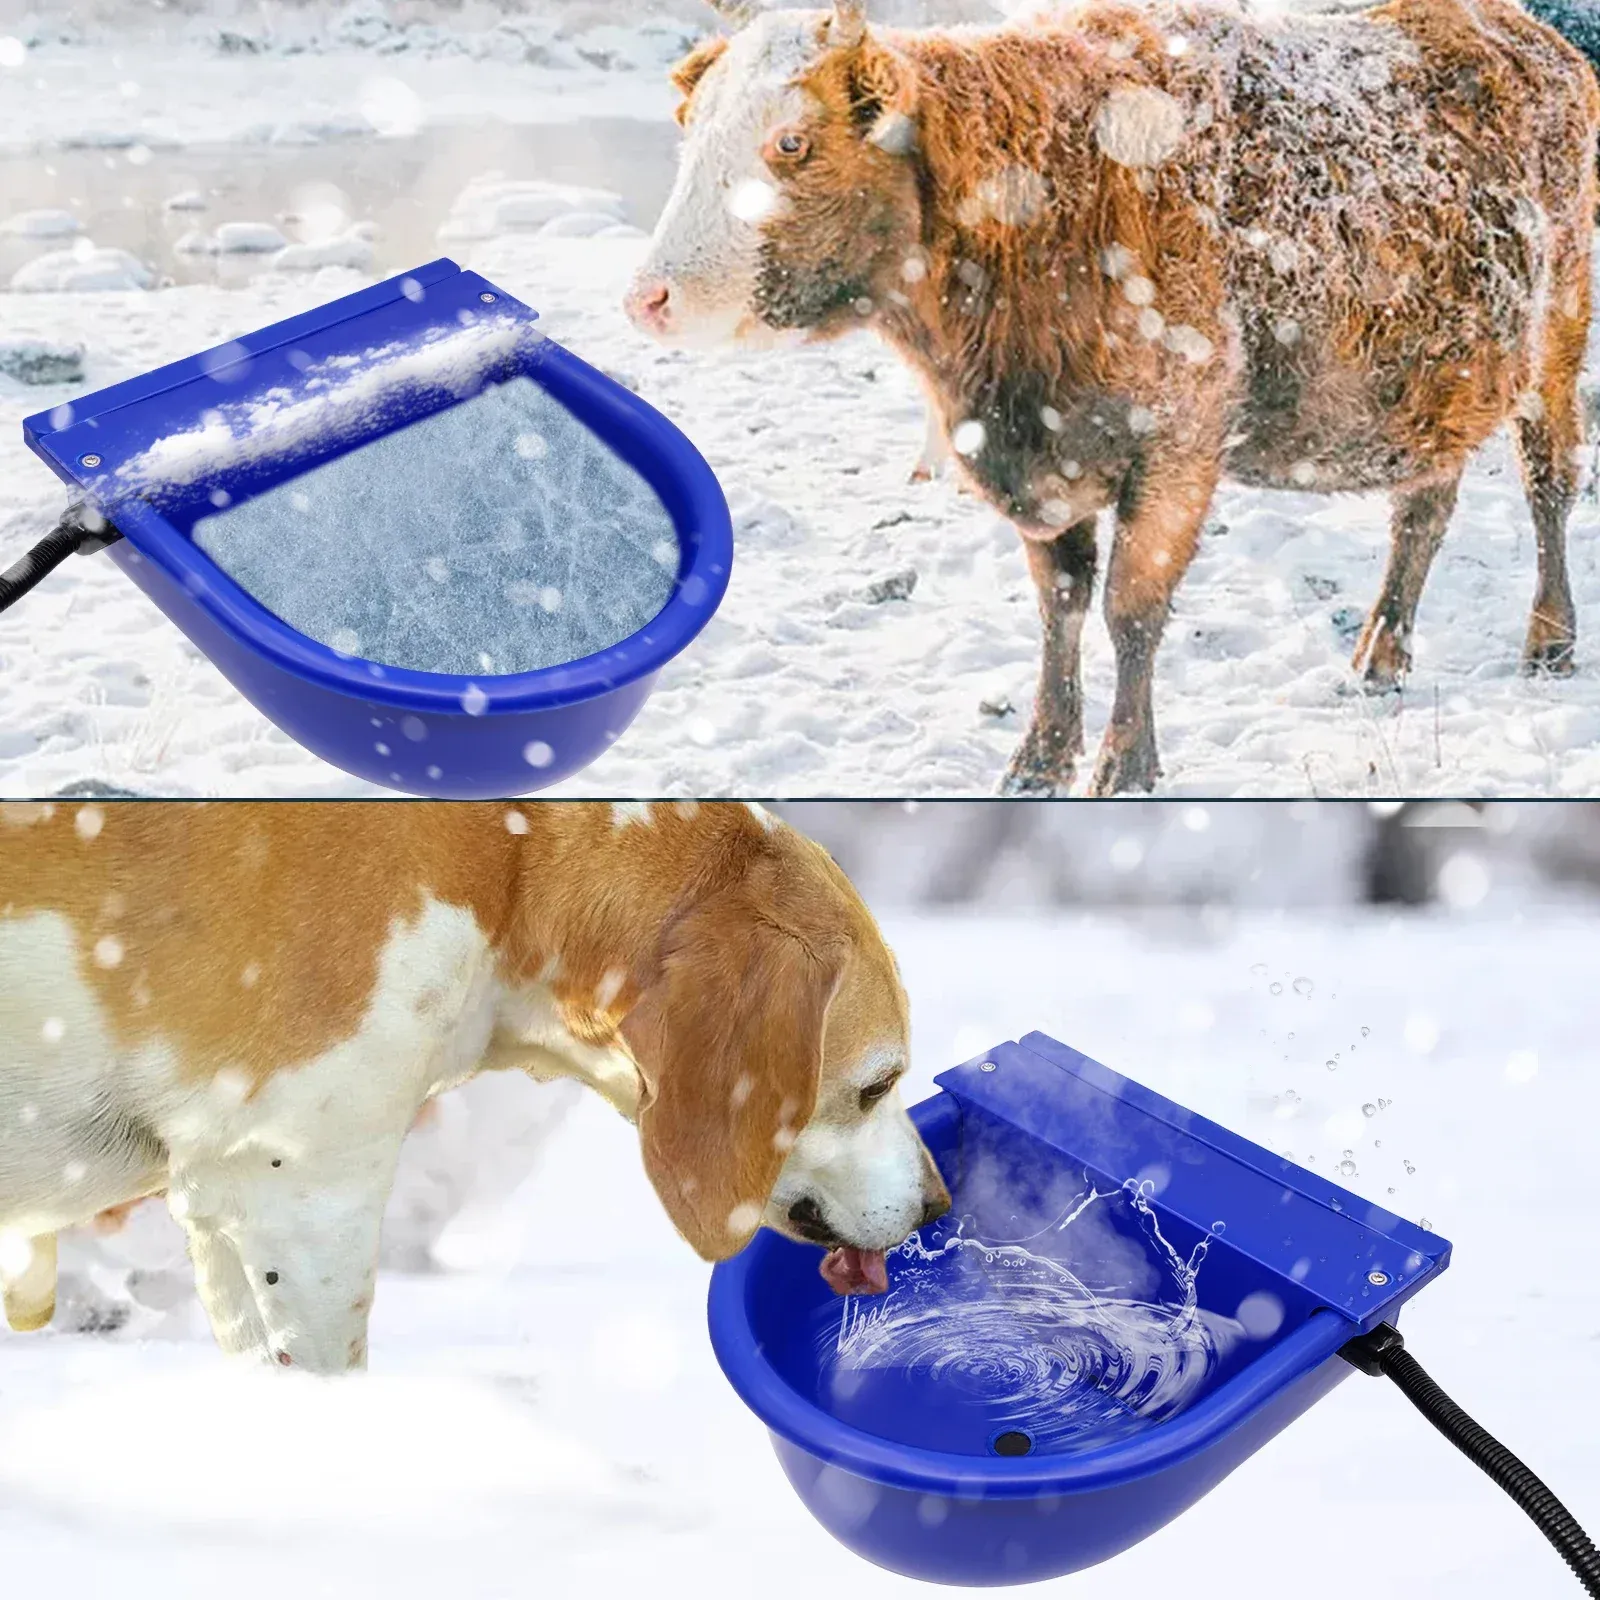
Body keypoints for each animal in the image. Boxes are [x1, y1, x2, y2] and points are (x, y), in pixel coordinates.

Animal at [624, 0, 1600, 795]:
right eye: (690, 131)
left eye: (791, 141)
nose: (648, 297)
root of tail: (1537, 41)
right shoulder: (1039, 471)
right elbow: (1060, 608)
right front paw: (1038, 761)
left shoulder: (1173, 453)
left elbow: (1131, 609)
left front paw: (1126, 766)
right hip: (1440, 392)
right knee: (1423, 513)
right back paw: (1378, 659)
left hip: (1555, 348)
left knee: (1548, 485)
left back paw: (1548, 643)